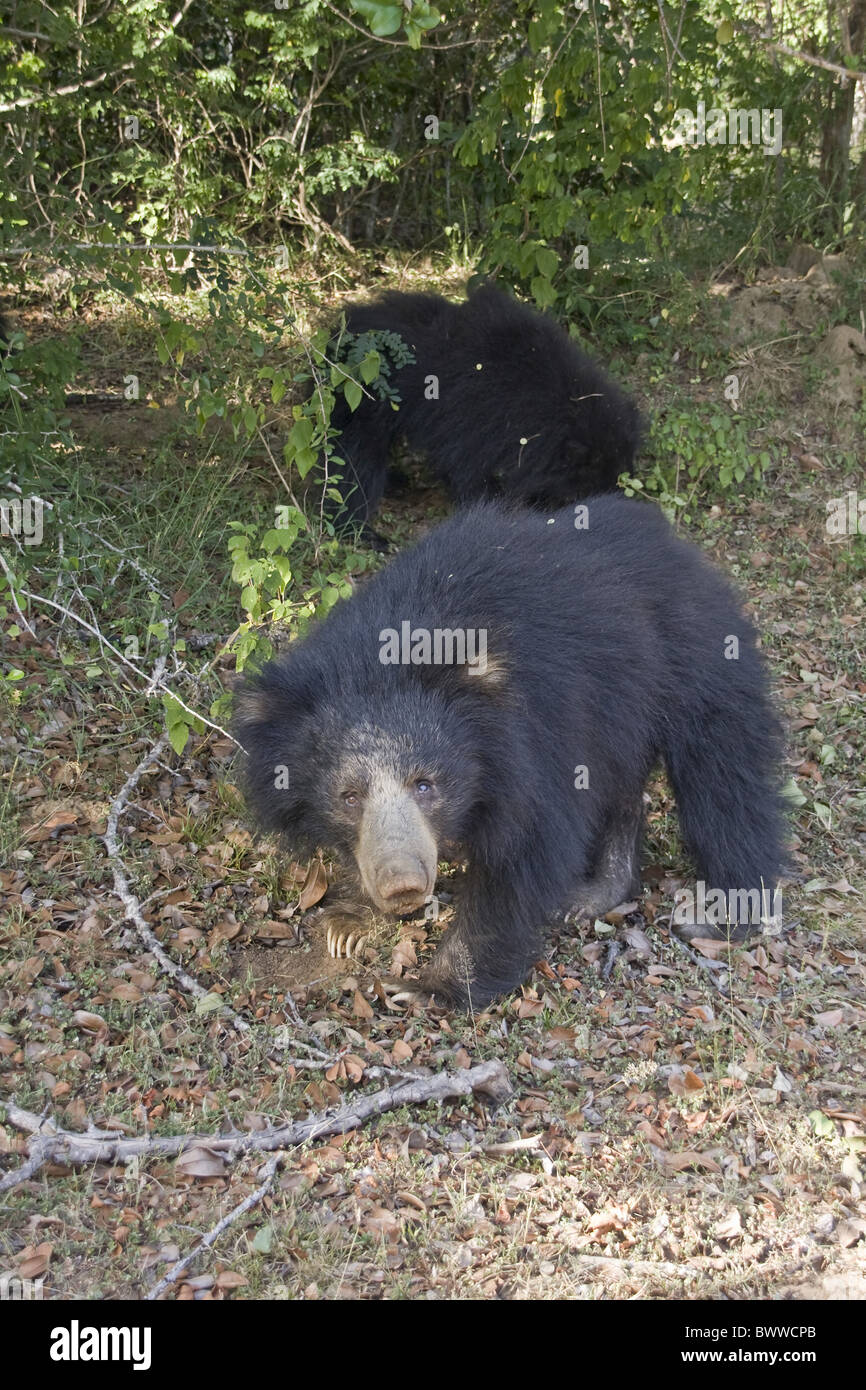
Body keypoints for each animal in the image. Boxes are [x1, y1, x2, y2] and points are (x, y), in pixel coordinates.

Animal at [234, 496, 787, 1010]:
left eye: (425, 784)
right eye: (349, 797)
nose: (403, 885)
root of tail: (673, 542)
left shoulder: (537, 734)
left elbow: (523, 857)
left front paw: (426, 988)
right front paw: (347, 924)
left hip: (695, 654)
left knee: (723, 775)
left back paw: (723, 910)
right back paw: (597, 892)